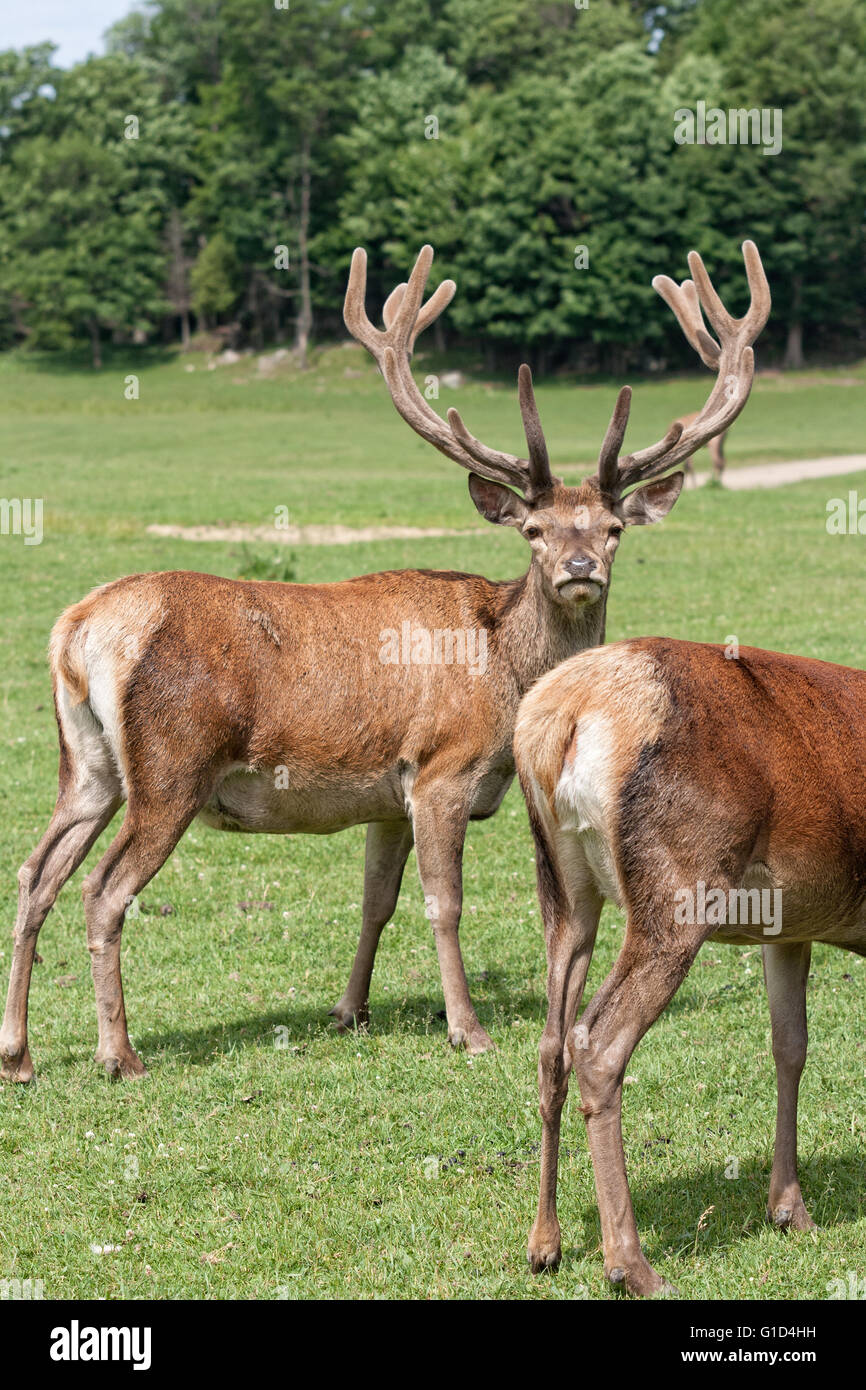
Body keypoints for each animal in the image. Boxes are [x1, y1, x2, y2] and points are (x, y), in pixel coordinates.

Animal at [0, 240, 755, 1084]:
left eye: (614, 527)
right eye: (533, 529)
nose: (580, 567)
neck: (507, 671)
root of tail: (77, 628)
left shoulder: (387, 796)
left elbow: (375, 901)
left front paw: (349, 1009)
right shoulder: (442, 767)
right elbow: (443, 903)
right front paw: (468, 1029)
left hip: (88, 764)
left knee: (34, 875)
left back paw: (19, 1055)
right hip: (171, 765)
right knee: (102, 891)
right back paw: (118, 1054)